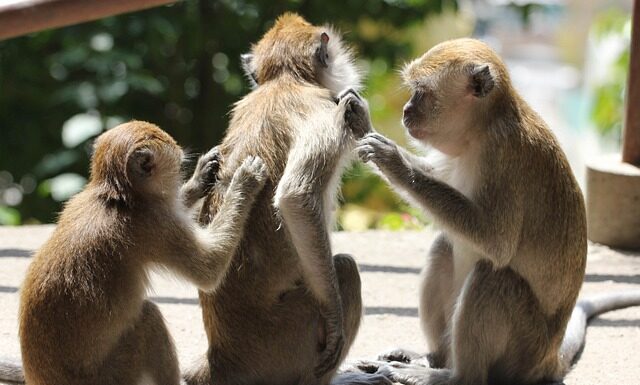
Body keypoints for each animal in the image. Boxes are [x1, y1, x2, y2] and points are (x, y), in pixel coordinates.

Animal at [0, 121, 266, 384]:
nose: (183, 175)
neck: (117, 197)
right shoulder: (154, 224)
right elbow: (208, 269)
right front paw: (244, 183)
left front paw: (200, 179)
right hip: (115, 374)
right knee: (148, 319)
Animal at [182, 13, 388, 384]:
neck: (284, 80)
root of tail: (221, 359)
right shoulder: (324, 109)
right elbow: (296, 198)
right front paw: (335, 320)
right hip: (283, 340)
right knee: (346, 268)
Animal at [348, 38, 640, 384]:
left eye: (422, 91)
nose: (407, 110)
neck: (482, 128)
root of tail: (548, 359)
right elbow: (439, 177)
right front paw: (361, 122)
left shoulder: (503, 156)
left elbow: (497, 243)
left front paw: (393, 161)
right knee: (444, 246)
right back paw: (432, 357)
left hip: (523, 348)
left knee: (494, 275)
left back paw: (454, 376)